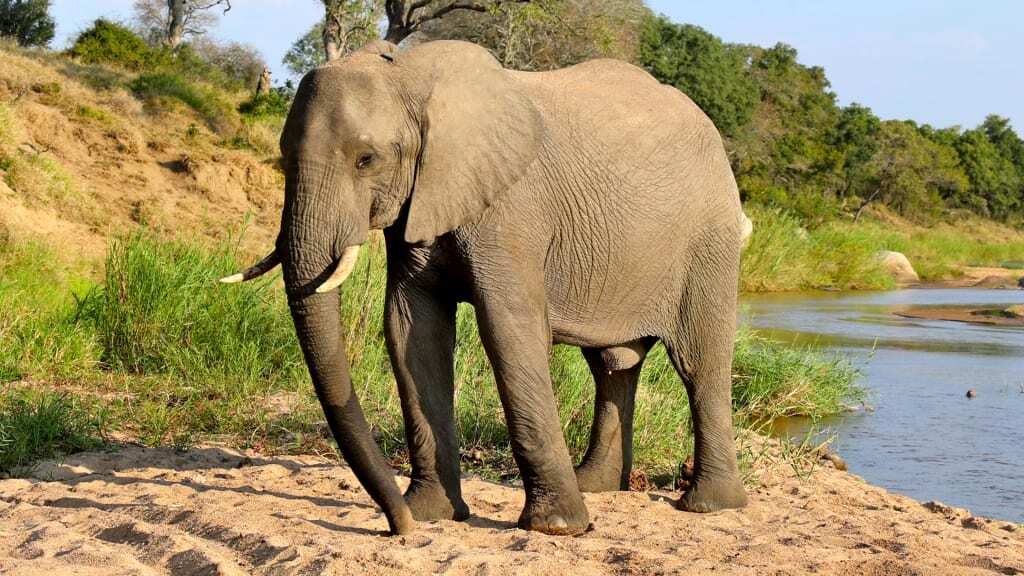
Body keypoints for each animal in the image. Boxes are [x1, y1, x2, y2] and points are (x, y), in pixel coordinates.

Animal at [222, 39, 748, 536]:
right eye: (284, 155)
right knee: (613, 366)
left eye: (365, 160)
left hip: (709, 242)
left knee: (699, 362)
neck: (412, 75)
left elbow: (508, 328)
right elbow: (411, 330)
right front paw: (432, 515)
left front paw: (557, 527)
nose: (397, 527)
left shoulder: (511, 210)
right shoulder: (420, 202)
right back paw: (597, 486)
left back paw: (710, 505)